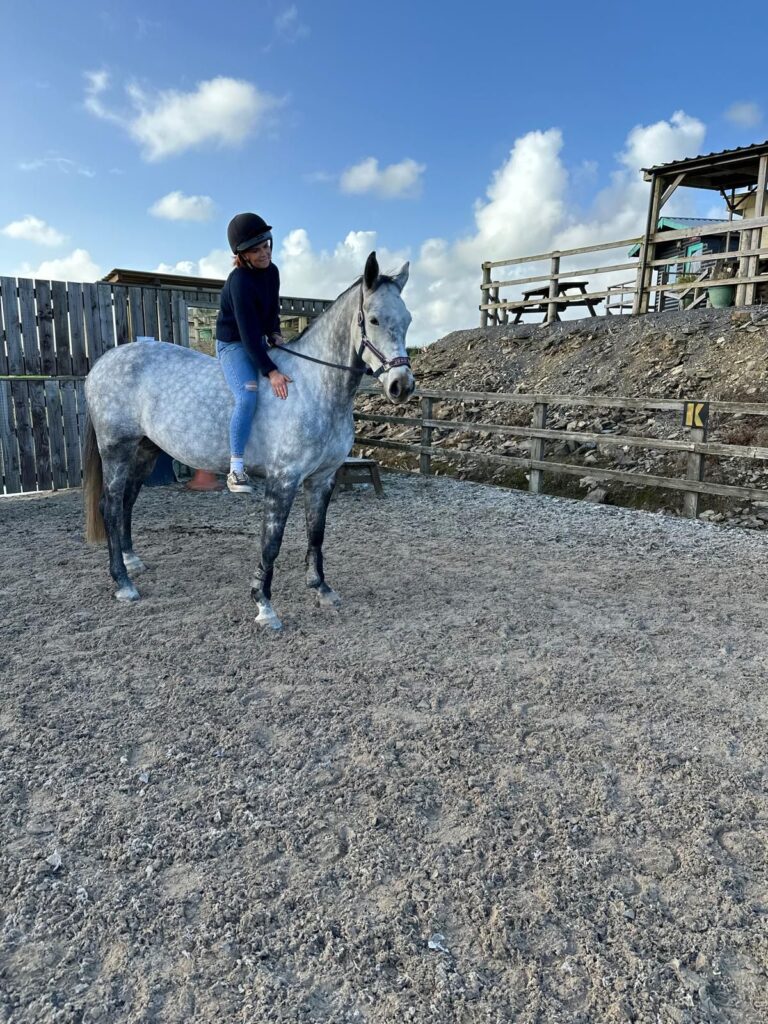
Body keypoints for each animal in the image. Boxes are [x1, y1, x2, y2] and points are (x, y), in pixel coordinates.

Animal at [83, 251, 415, 629]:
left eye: (407, 320)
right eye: (373, 319)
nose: (402, 386)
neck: (313, 385)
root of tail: (103, 362)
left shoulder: (322, 479)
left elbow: (316, 533)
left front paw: (321, 588)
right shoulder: (283, 479)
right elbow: (271, 540)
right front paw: (264, 604)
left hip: (144, 451)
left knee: (127, 503)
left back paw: (132, 562)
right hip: (117, 449)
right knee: (110, 506)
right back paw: (123, 583)